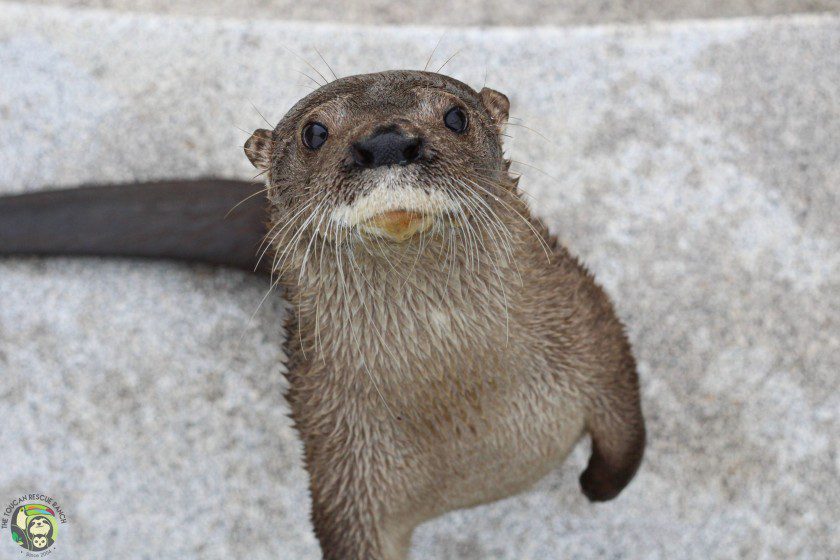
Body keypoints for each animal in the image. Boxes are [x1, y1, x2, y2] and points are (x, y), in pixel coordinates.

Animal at [0, 70, 645, 560]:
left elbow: (626, 415)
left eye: (456, 116)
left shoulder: (588, 325)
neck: (470, 408)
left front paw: (598, 486)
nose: (386, 143)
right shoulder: (342, 465)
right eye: (314, 131)